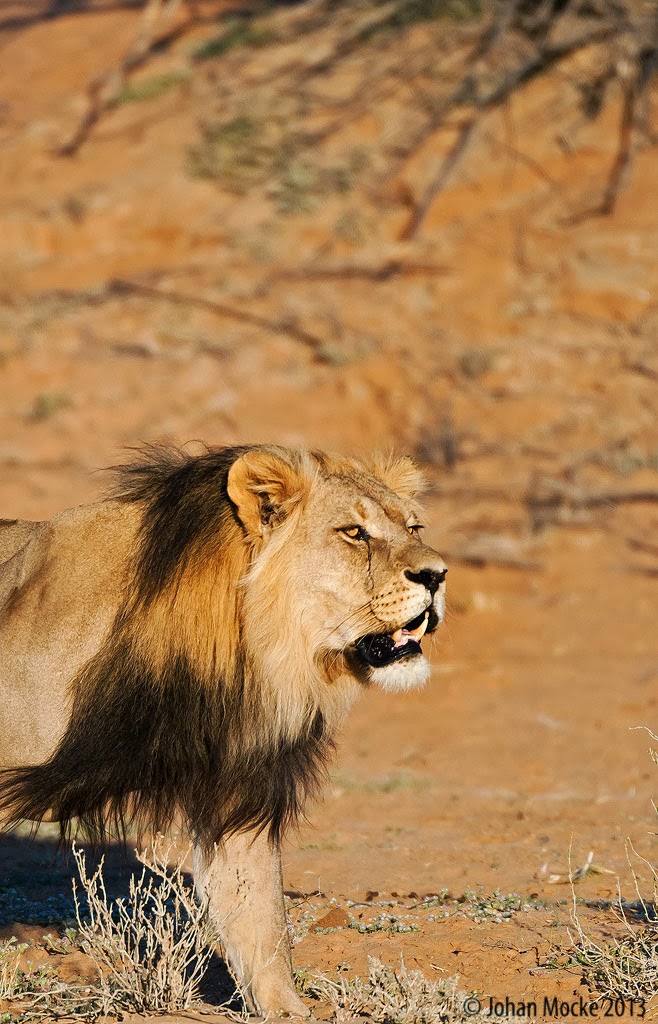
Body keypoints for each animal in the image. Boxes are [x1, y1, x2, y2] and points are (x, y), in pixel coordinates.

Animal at [0, 444, 446, 1017]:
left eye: (414, 526)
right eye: (354, 532)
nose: (437, 576)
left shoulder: (239, 797)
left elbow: (261, 924)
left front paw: (289, 1012)